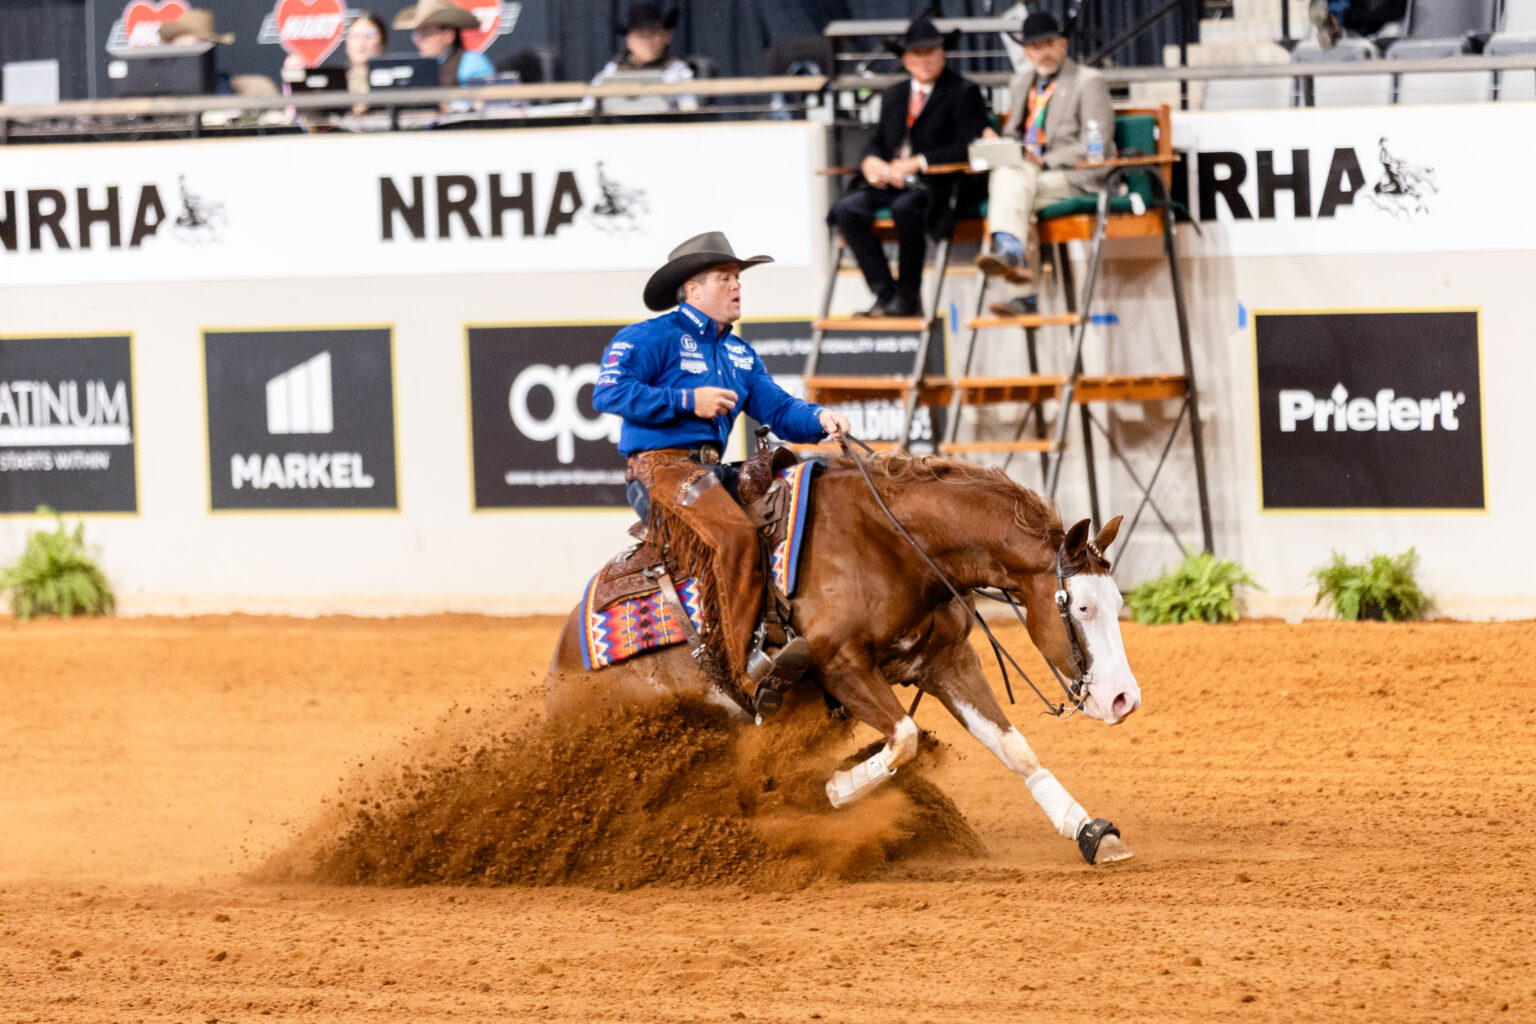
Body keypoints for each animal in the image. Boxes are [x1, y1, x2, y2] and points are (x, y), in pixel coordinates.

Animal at [544, 452, 1142, 865]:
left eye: (1118, 602)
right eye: (1082, 606)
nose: (1124, 699)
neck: (893, 544)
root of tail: (563, 662)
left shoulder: (948, 660)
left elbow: (1014, 748)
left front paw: (1089, 833)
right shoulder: (842, 667)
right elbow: (904, 736)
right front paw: (838, 788)